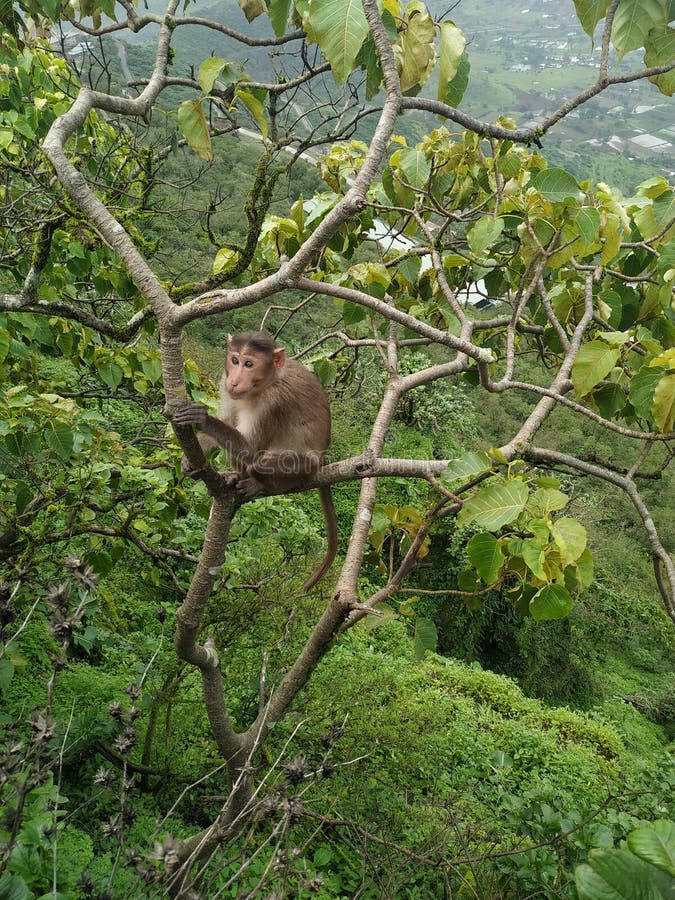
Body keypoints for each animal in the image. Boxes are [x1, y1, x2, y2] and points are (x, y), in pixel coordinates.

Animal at [173, 331, 338, 591]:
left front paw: (202, 418)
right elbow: (227, 419)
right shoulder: (224, 381)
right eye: (235, 361)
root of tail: (323, 460)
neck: (267, 383)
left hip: (305, 467)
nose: (235, 381)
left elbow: (250, 450)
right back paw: (236, 477)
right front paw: (189, 459)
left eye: (249, 364)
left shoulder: (274, 401)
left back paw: (257, 484)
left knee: (261, 462)